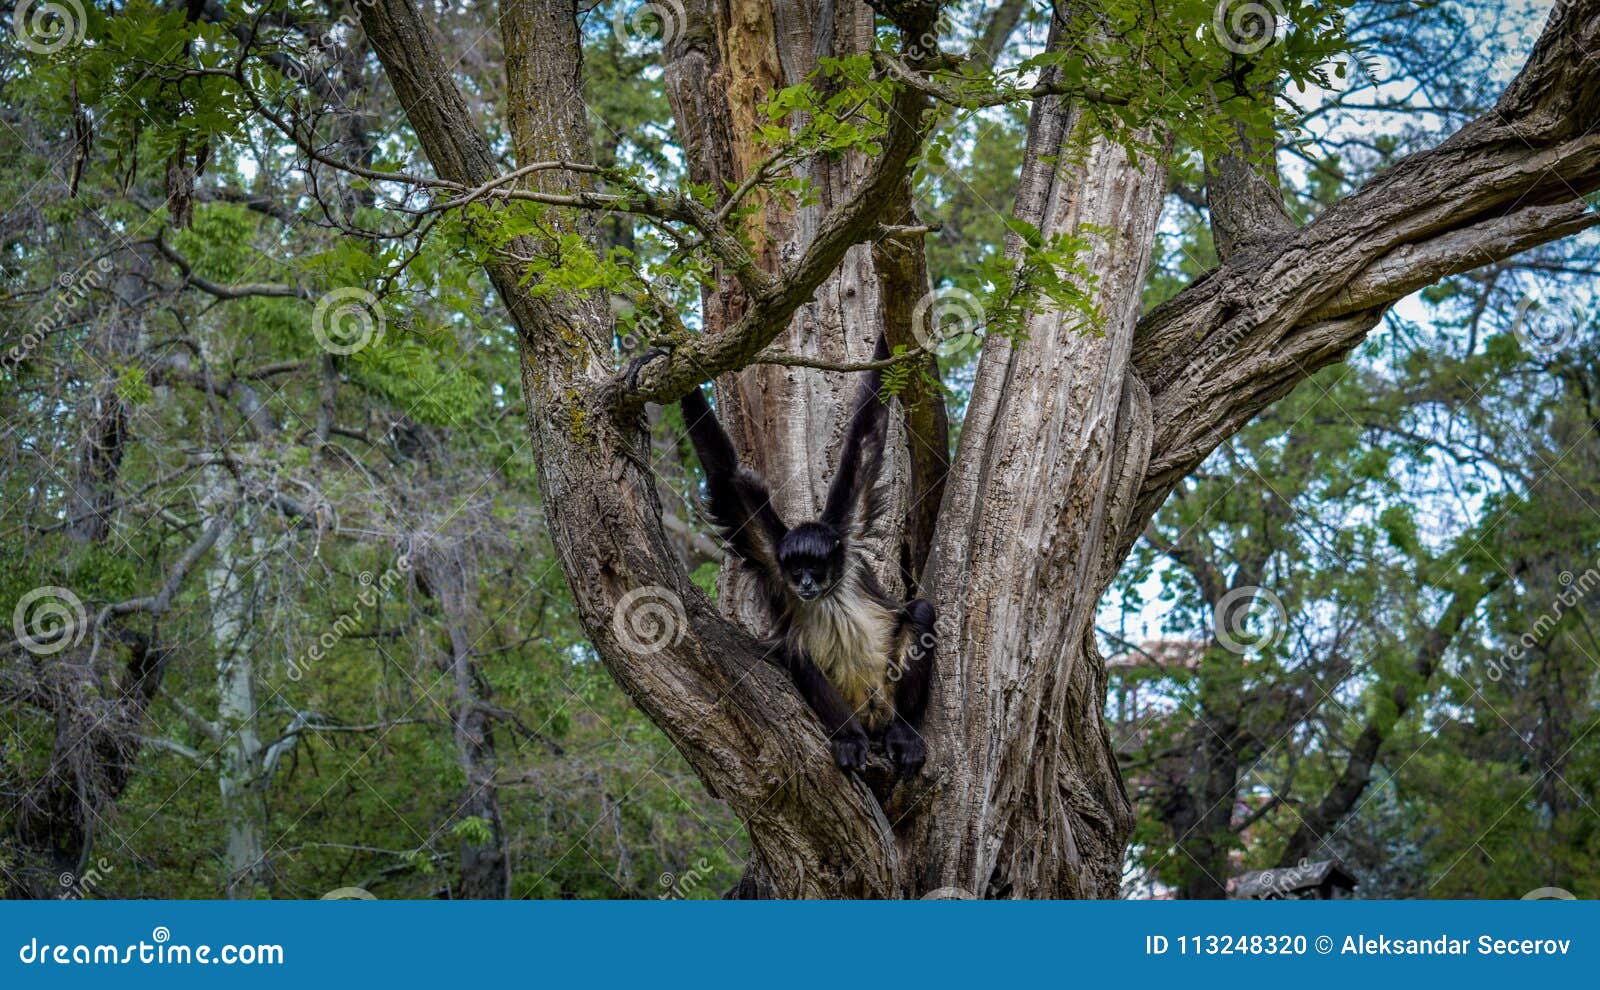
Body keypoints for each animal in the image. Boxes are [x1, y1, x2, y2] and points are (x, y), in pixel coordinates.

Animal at [671, 337, 936, 777]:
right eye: (796, 571)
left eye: (813, 567)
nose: (806, 583)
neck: (828, 590)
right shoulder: (773, 556)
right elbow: (728, 479)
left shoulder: (843, 534)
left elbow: (867, 438)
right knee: (796, 647)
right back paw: (849, 738)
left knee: (920, 611)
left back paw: (902, 731)